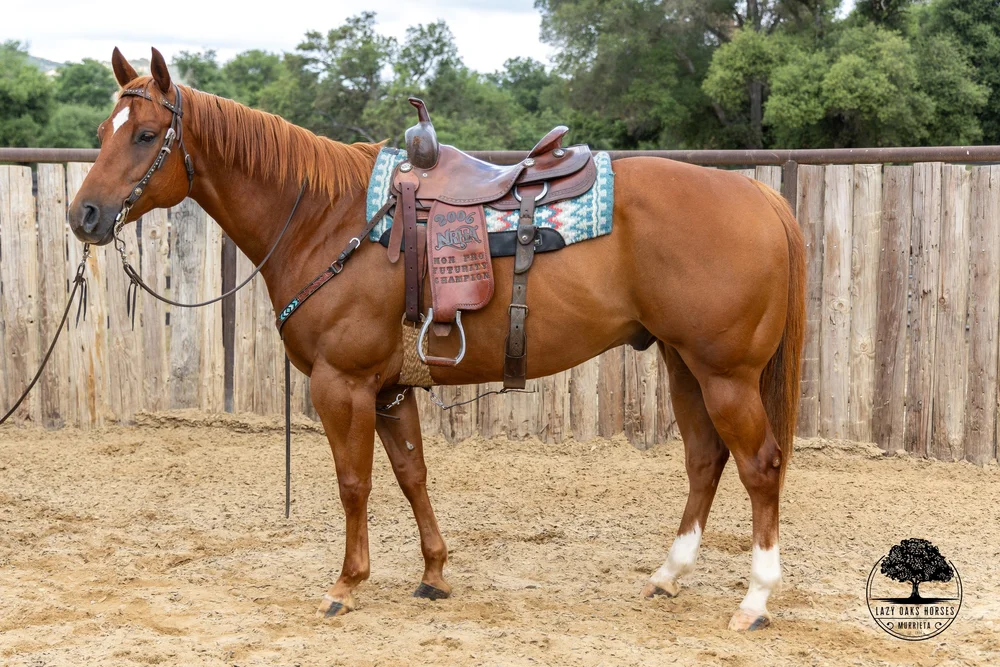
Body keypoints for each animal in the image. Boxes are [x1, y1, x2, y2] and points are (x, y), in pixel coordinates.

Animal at [68, 47, 805, 632]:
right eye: (105, 131)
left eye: (146, 135)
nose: (85, 215)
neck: (327, 219)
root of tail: (763, 200)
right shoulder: (392, 388)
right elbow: (412, 474)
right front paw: (434, 573)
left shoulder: (342, 384)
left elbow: (355, 482)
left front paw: (346, 584)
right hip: (686, 366)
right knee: (705, 460)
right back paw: (668, 575)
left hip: (725, 374)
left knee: (760, 465)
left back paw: (755, 599)